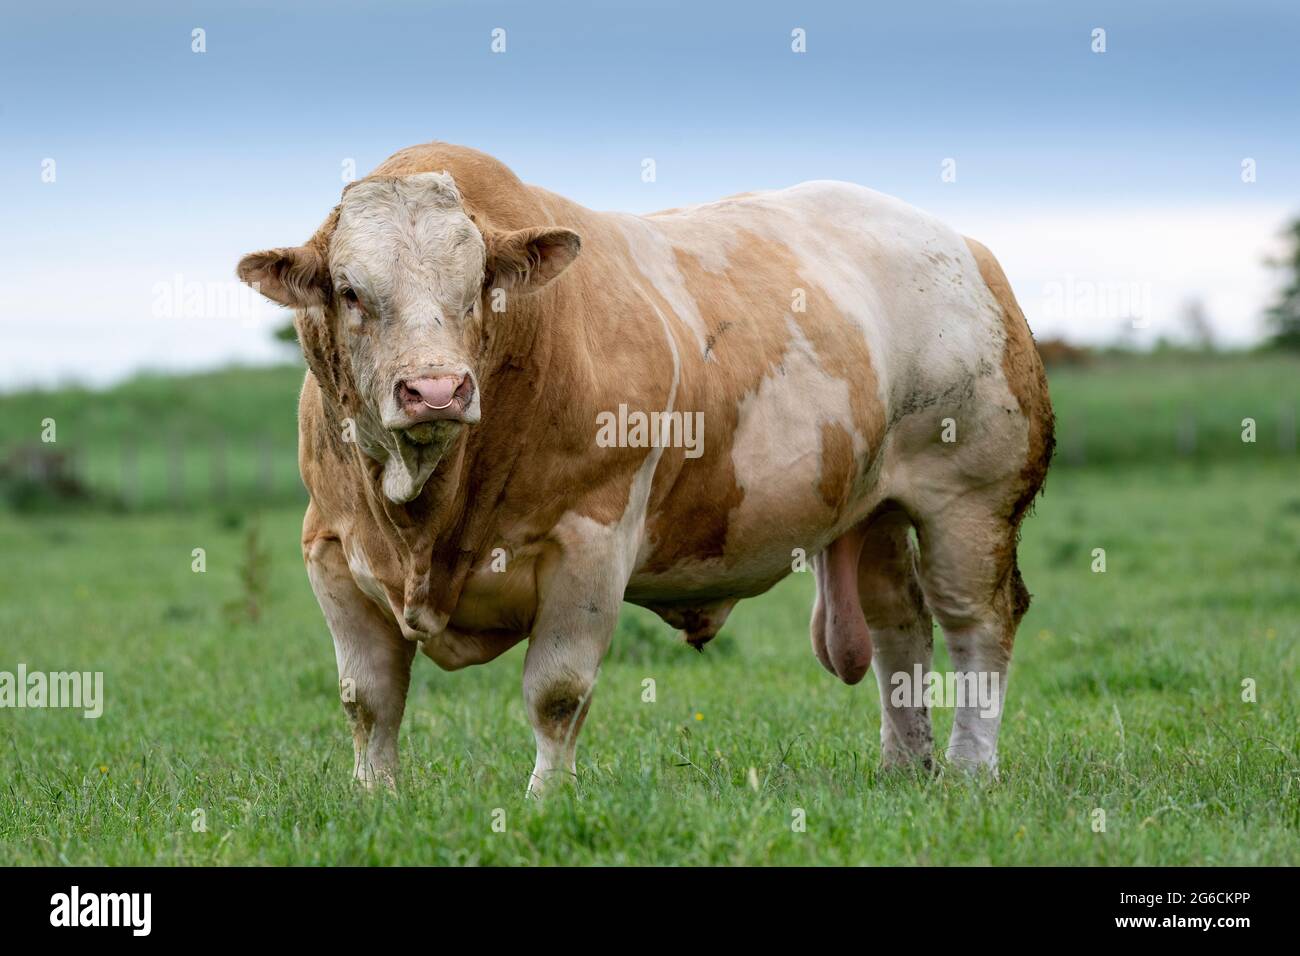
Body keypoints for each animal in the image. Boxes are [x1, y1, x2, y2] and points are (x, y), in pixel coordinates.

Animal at [237, 142, 1054, 795]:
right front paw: (374, 799)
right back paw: (904, 766)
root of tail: (963, 246)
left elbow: (557, 691)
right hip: (878, 510)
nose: (436, 389)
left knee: (976, 626)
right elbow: (369, 697)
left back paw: (969, 769)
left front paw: (545, 800)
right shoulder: (331, 549)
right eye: (350, 292)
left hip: (971, 502)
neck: (425, 514)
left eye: (478, 290)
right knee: (898, 626)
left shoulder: (591, 543)